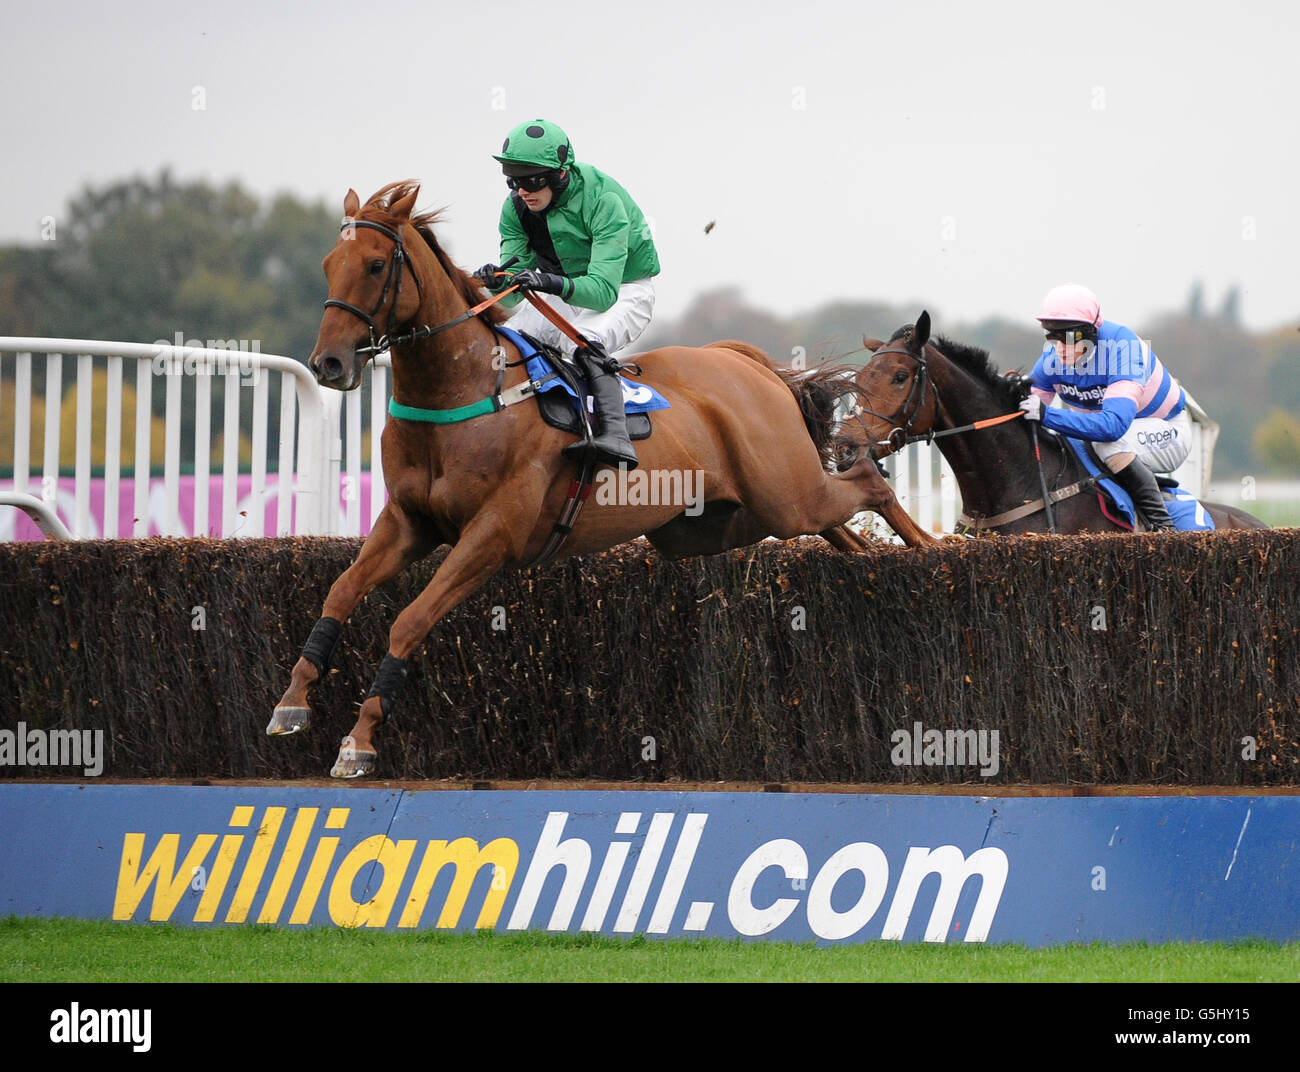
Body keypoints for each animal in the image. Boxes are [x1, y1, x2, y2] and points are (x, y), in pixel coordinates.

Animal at [268, 181, 940, 778]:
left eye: (376, 264)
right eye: (330, 264)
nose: (328, 364)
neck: (464, 390)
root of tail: (746, 364)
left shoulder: (493, 535)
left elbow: (408, 619)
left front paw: (358, 741)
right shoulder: (409, 521)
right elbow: (340, 592)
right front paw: (291, 704)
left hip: (788, 495)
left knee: (869, 482)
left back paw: (935, 555)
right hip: (719, 523)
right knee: (840, 528)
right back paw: (888, 564)